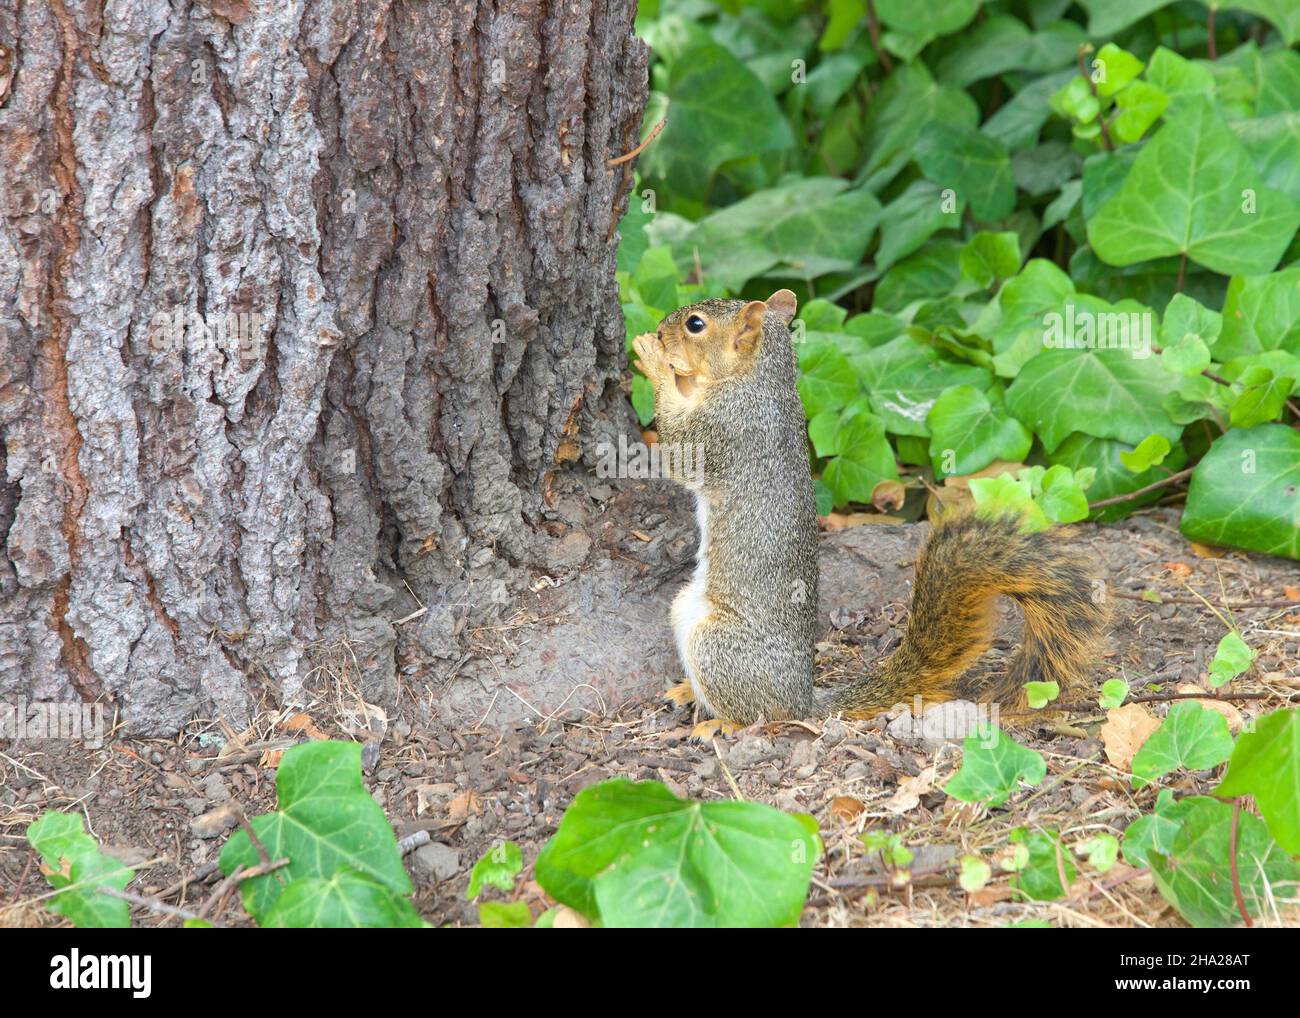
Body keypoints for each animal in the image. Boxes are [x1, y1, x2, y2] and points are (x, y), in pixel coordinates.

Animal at [631, 289, 1108, 731]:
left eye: (695, 324)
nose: (660, 330)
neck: (762, 381)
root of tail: (804, 700)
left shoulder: (725, 428)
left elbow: (680, 449)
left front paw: (653, 360)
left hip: (719, 645)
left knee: (762, 715)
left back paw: (720, 724)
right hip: (686, 609)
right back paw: (686, 691)